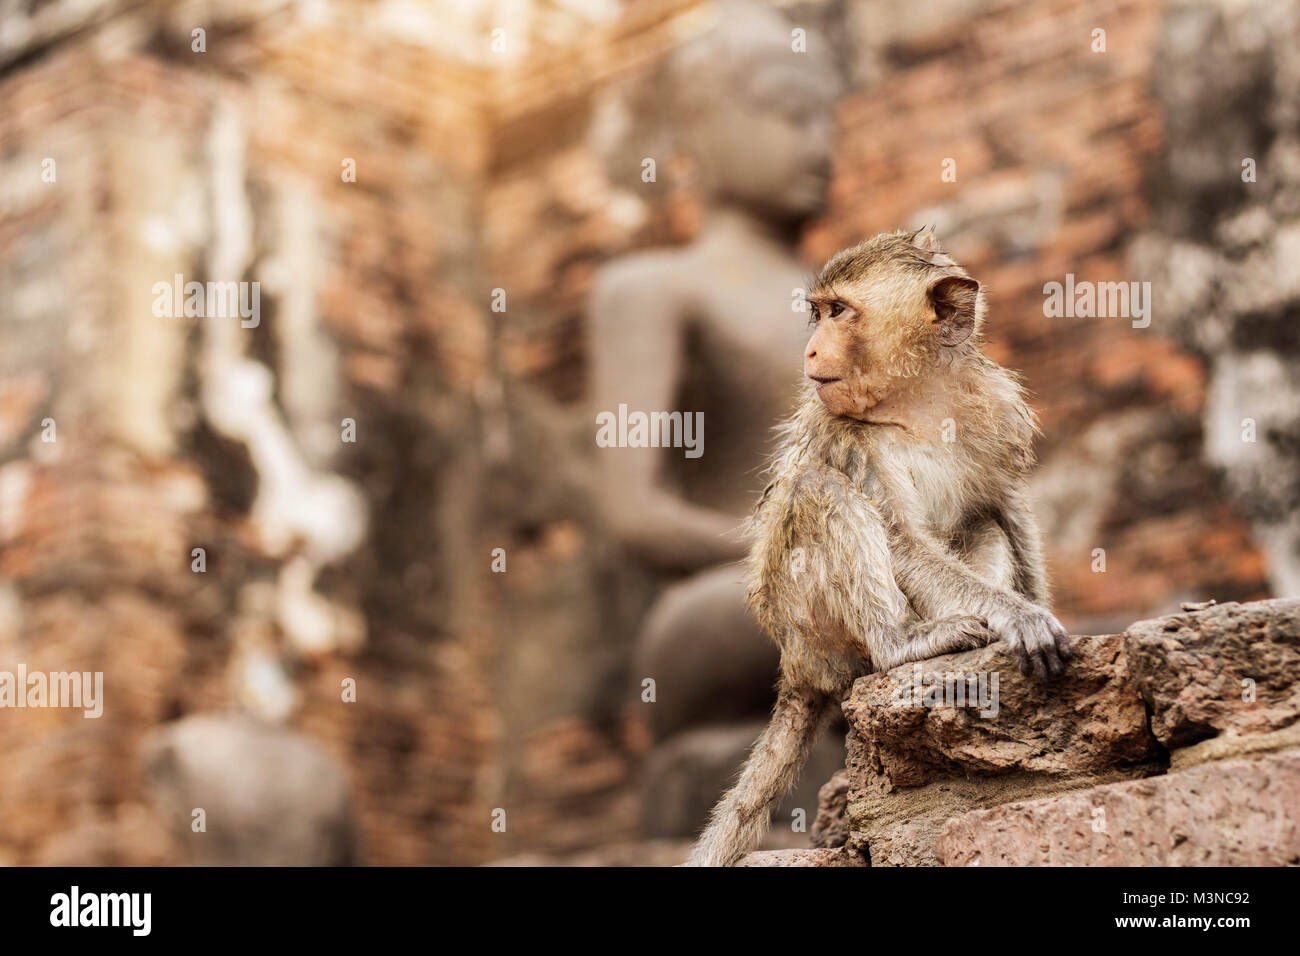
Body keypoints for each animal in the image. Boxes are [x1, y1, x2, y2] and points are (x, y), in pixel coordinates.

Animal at [688, 228, 1071, 867]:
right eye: (818, 312)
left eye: (838, 312)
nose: (810, 351)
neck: (914, 401)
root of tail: (795, 663)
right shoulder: (841, 433)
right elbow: (901, 539)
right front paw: (1021, 617)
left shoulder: (995, 407)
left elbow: (1005, 506)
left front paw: (1035, 608)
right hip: (813, 625)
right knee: (821, 490)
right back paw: (901, 645)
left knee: (981, 524)